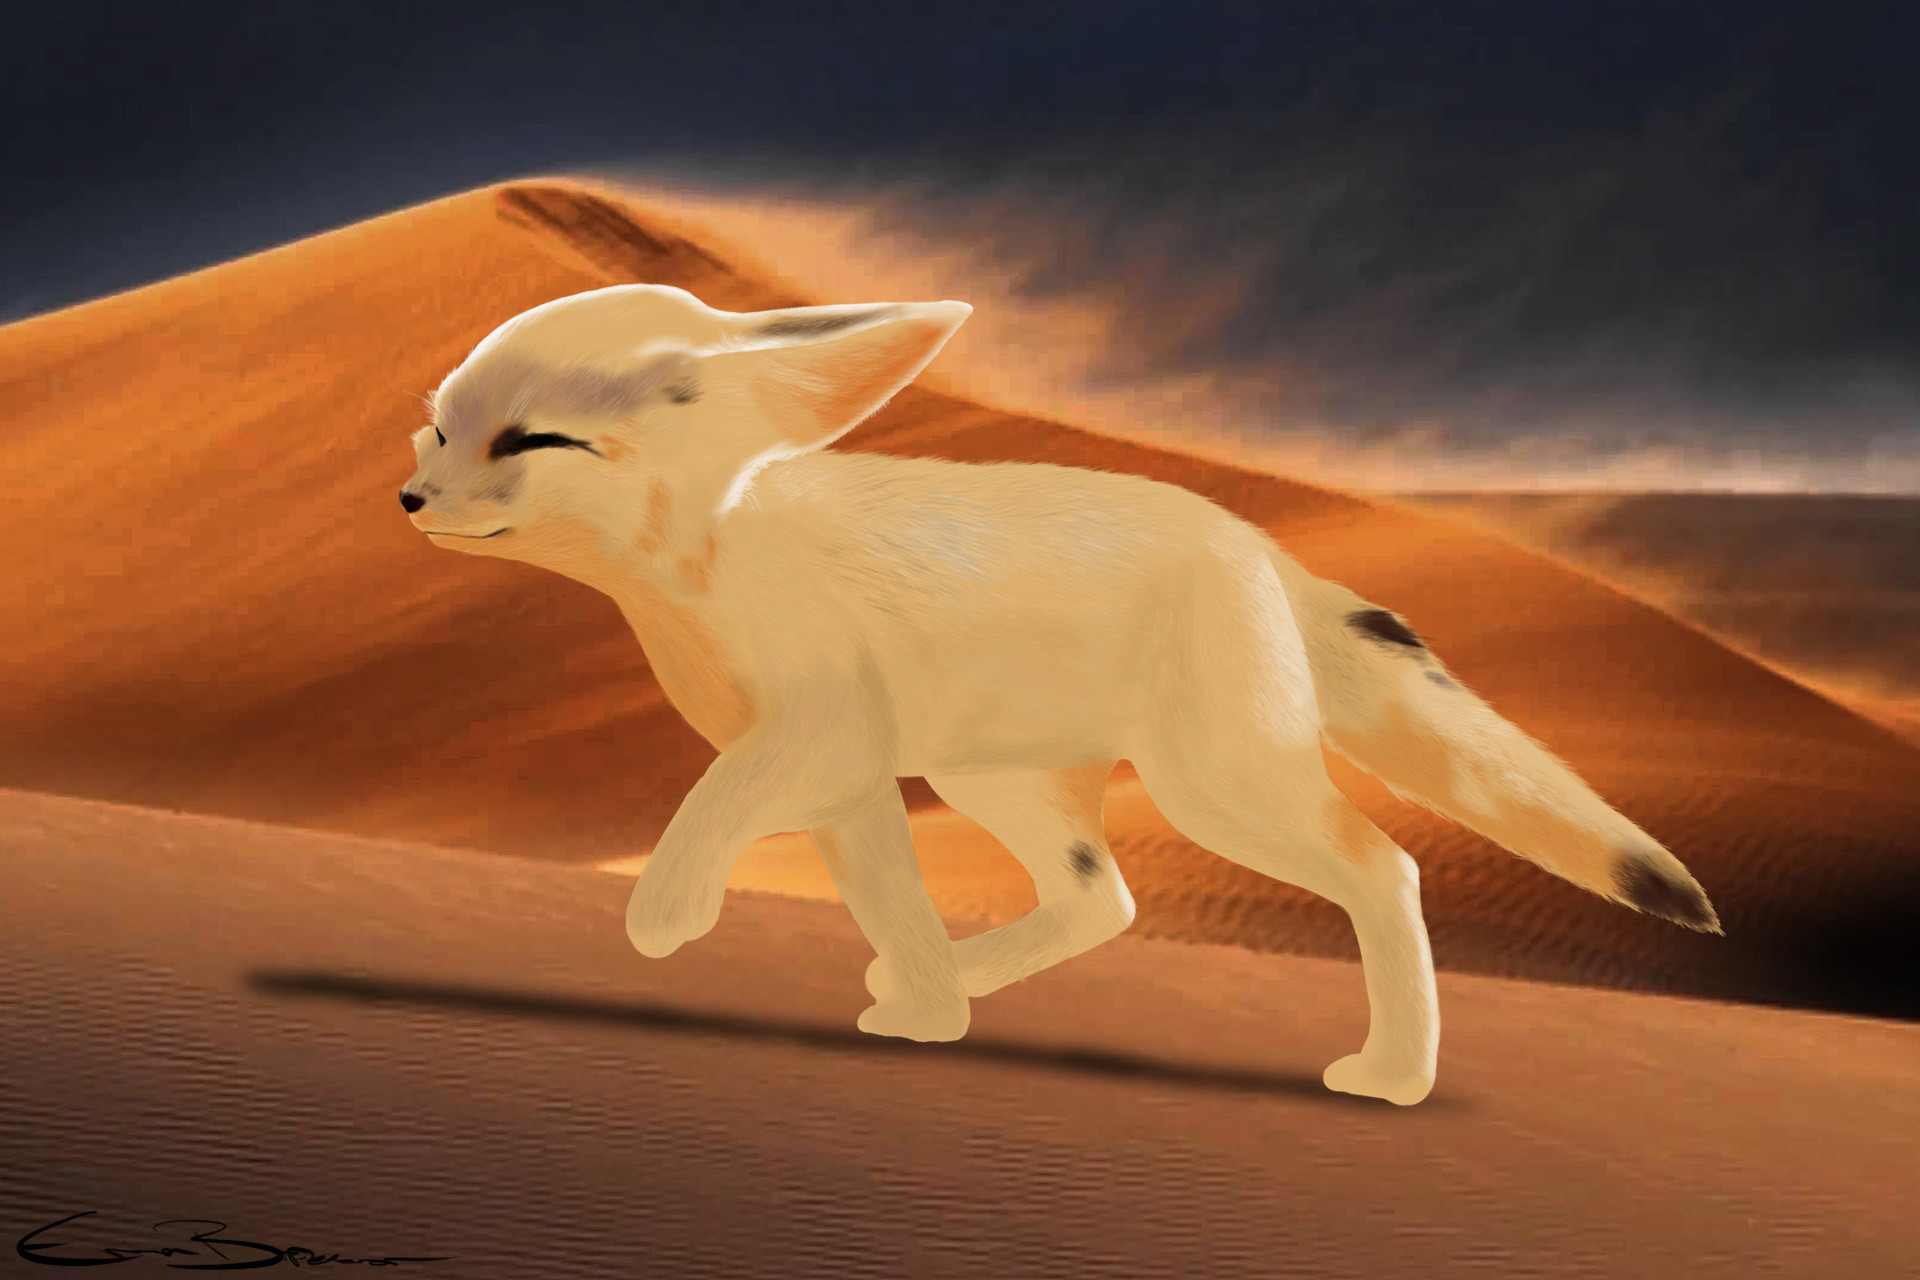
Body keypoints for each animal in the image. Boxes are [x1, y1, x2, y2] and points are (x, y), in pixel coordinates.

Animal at [398, 283, 1720, 1105]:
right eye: (438, 433)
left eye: (530, 442)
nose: (408, 499)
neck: (707, 563)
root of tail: (1259, 543)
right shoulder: (853, 783)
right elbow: (894, 908)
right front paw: (929, 1014)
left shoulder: (812, 741)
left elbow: (704, 815)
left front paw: (669, 916)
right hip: (992, 773)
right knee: (1105, 896)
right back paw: (962, 977)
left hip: (1214, 785)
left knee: (1381, 867)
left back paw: (1392, 1076)